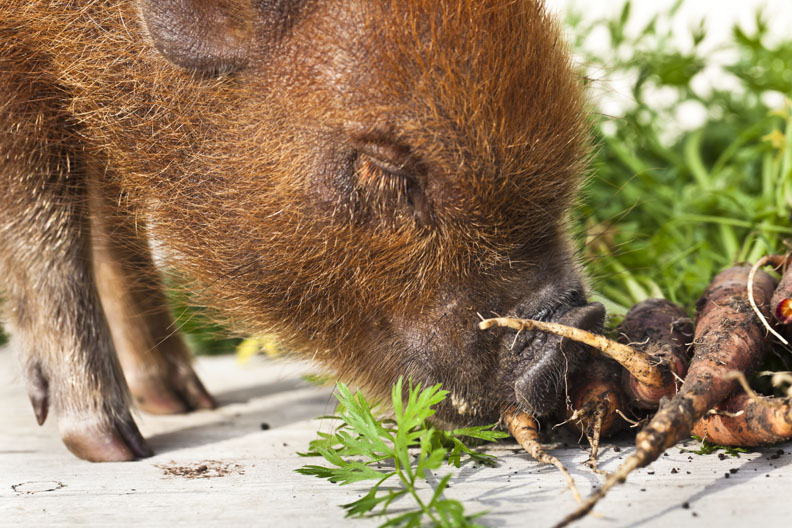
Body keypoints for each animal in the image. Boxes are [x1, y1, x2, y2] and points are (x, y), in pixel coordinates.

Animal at [0, 0, 604, 462]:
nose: (580, 322)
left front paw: (183, 406)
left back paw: (184, 403)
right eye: (386, 169)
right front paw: (117, 449)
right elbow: (42, 205)